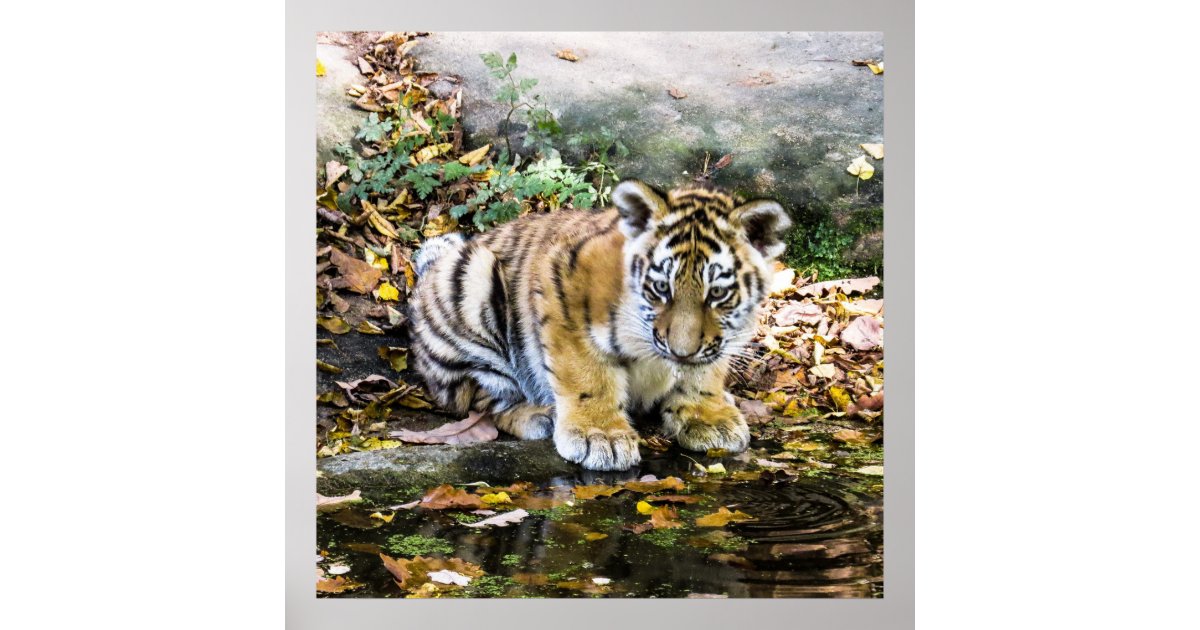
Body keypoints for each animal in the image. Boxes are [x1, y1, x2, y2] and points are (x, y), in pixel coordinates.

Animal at [407, 179, 791, 471]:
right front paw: (601, 436)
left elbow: (703, 372)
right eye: (661, 288)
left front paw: (708, 417)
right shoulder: (560, 287)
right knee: (480, 399)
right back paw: (540, 415)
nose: (681, 352)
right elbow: (586, 375)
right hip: (472, 278)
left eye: (717, 293)